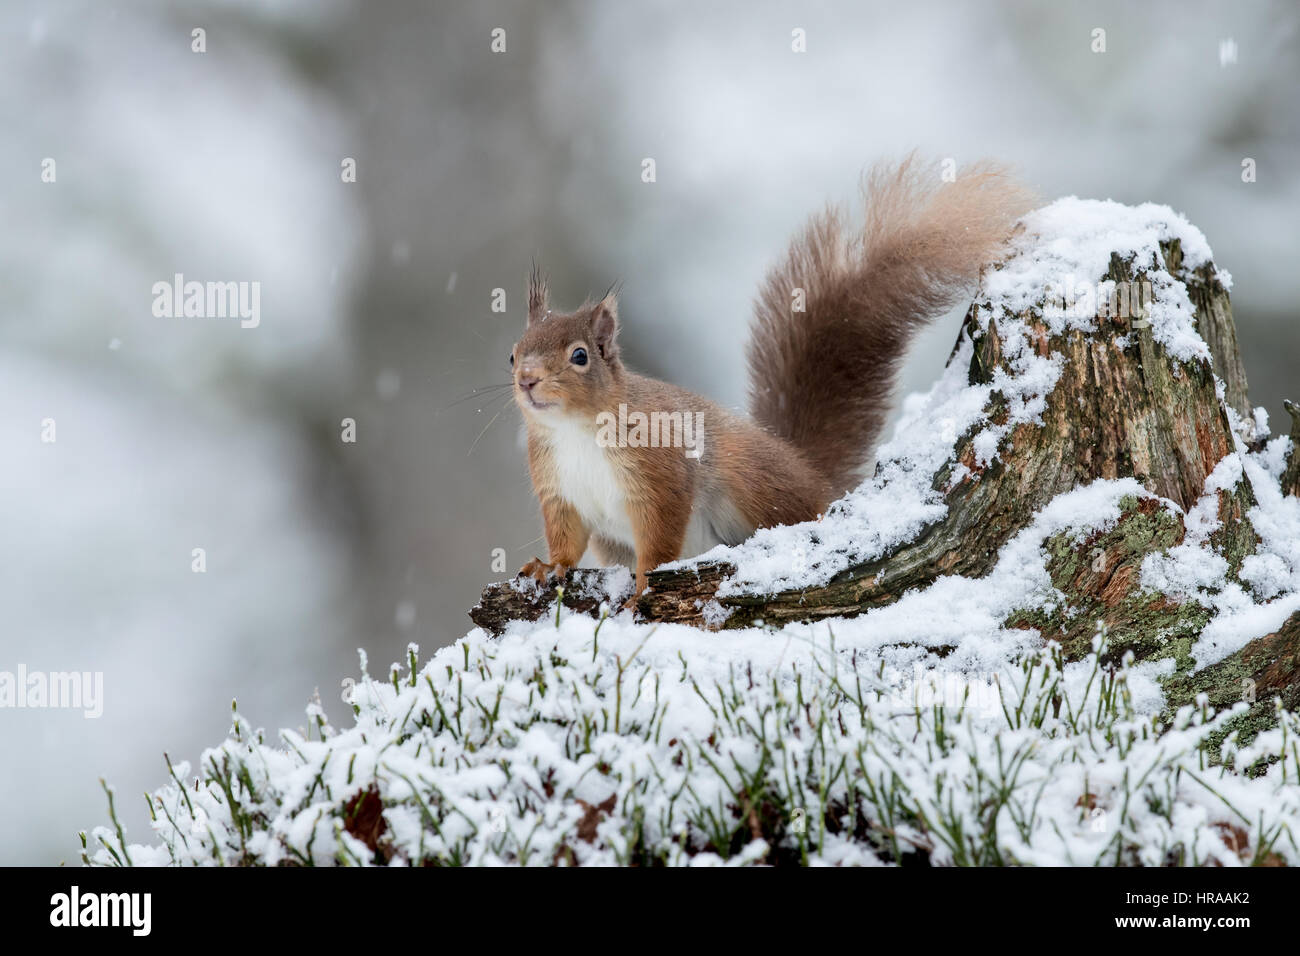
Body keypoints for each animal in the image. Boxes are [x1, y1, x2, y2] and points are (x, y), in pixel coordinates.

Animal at [509, 156, 1033, 606]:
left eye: (579, 356)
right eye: (513, 353)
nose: (528, 380)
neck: (575, 431)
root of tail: (813, 477)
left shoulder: (661, 472)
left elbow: (661, 536)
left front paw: (643, 585)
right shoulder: (558, 490)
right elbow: (567, 540)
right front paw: (550, 567)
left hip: (750, 478)